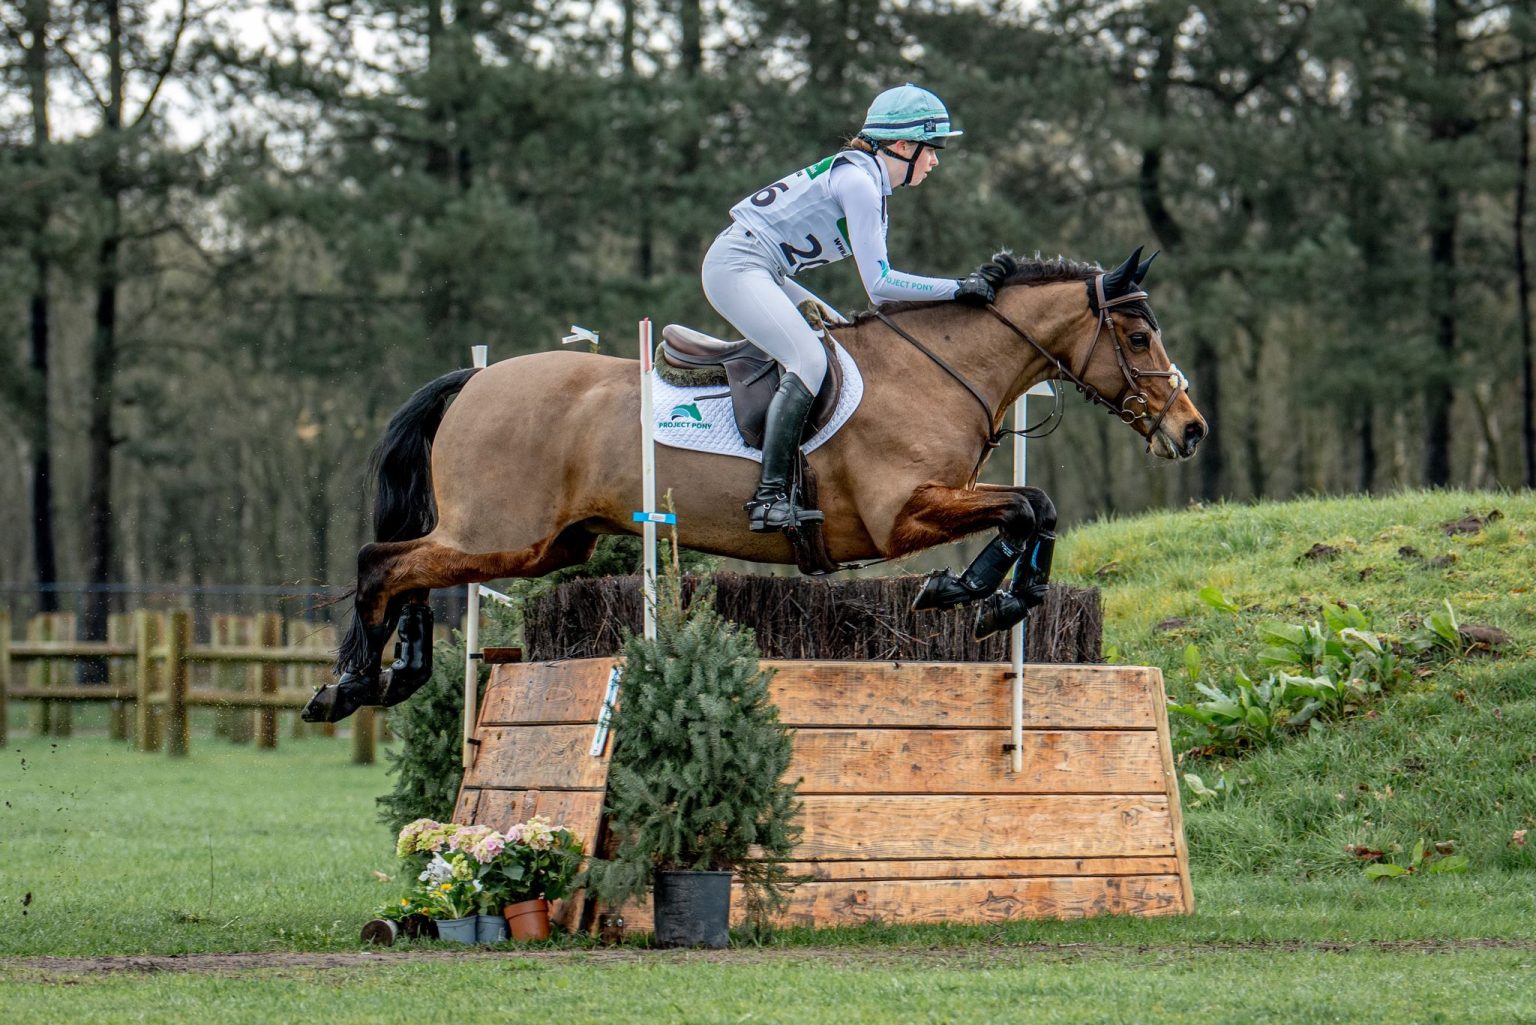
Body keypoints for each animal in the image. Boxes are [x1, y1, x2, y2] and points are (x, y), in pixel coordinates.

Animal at [301, 247, 1206, 723]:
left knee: (413, 567)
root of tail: (478, 380)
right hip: (505, 533)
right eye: (1137, 336)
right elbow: (1028, 506)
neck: (934, 369)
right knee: (383, 562)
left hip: (539, 544)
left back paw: (398, 670)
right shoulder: (902, 515)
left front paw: (988, 595)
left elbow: (1030, 512)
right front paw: (975, 593)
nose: (1191, 429)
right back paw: (350, 685)